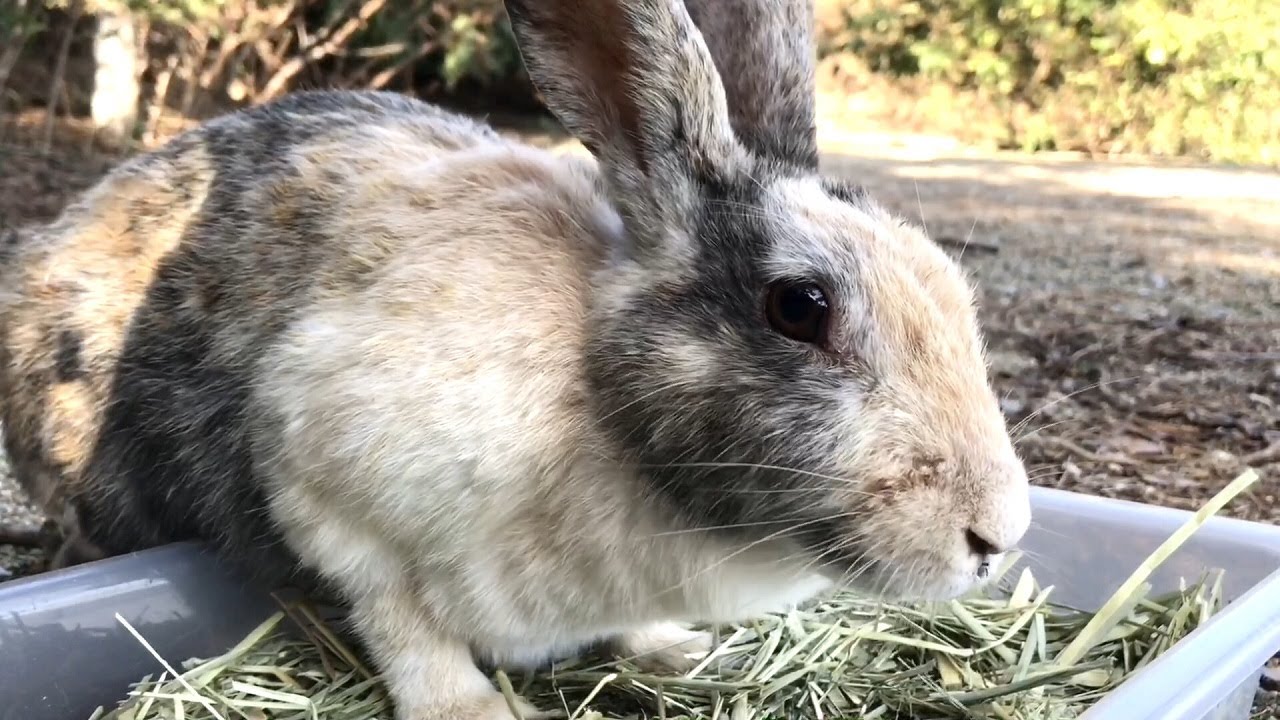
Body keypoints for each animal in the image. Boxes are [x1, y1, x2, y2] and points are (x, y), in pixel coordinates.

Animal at [0, 0, 1033, 717]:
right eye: (801, 307)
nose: (997, 536)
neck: (600, 393)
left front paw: (674, 652)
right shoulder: (321, 476)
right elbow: (399, 618)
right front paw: (470, 708)